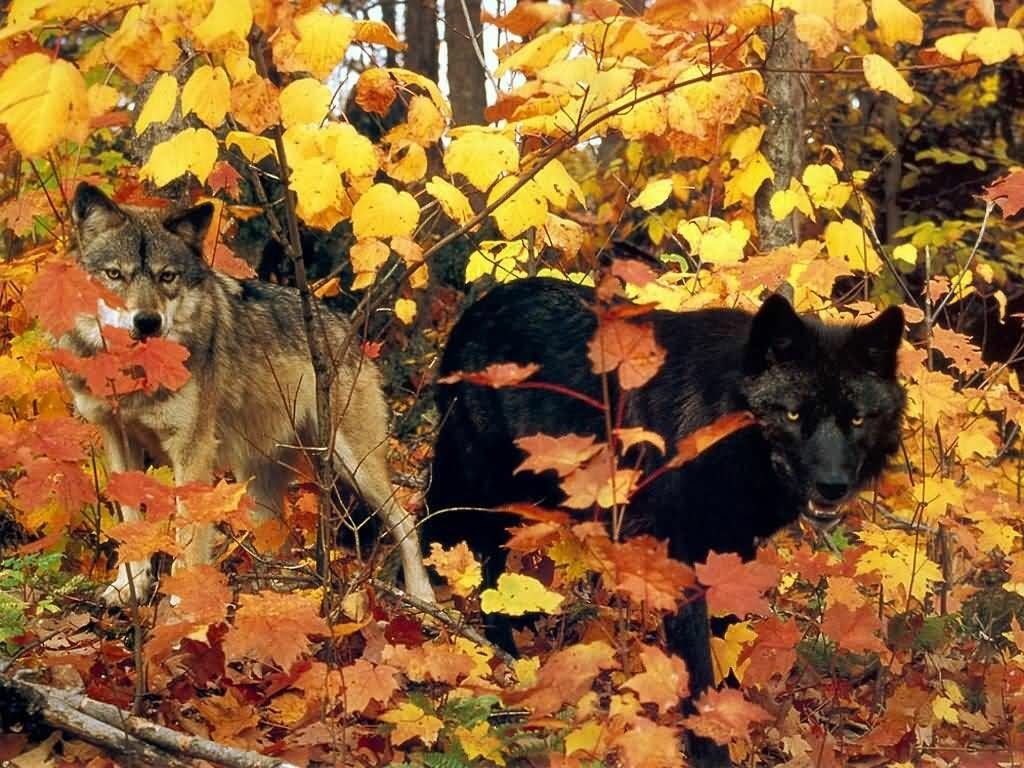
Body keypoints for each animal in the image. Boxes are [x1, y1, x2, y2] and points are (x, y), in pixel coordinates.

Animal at [60, 183, 434, 606]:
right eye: (114, 274)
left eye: (167, 276)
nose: (148, 322)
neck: (134, 377)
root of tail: (347, 329)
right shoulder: (117, 437)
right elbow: (130, 519)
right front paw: (129, 586)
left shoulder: (192, 450)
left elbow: (189, 535)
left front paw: (184, 603)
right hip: (258, 484)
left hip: (354, 464)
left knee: (405, 520)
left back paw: (424, 600)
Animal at [425, 276, 905, 766]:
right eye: (793, 414)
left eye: (856, 419)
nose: (833, 486)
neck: (716, 430)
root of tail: (478, 309)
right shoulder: (681, 565)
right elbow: (697, 669)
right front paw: (711, 752)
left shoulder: (730, 553)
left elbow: (725, 644)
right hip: (488, 496)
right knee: (473, 560)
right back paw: (494, 651)